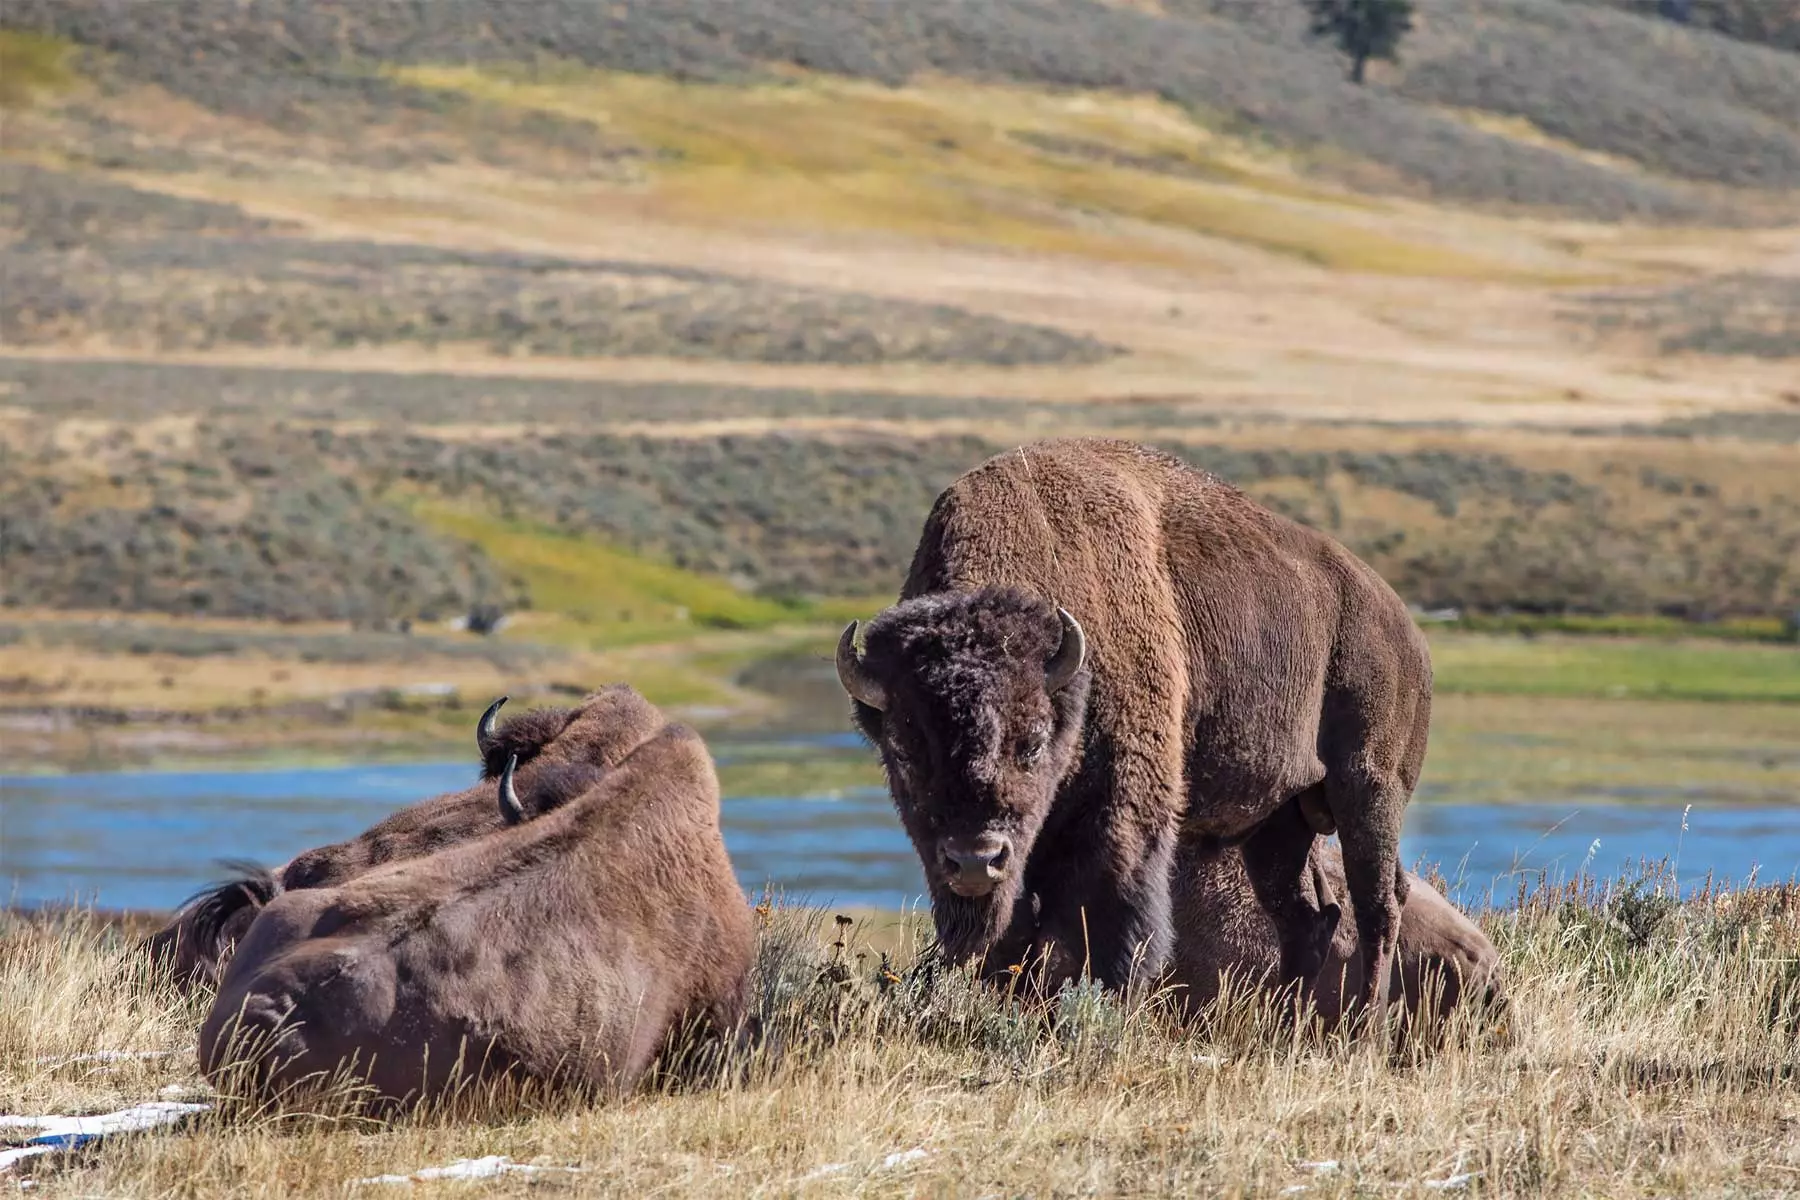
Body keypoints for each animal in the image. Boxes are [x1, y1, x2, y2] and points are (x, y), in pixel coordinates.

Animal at [831, 433, 1432, 1014]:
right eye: (904, 751)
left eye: (1033, 743)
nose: (976, 861)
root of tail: (1404, 626)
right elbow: (1018, 934)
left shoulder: (1121, 812)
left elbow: (1108, 922)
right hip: (1279, 821)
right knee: (1305, 916)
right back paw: (1289, 1022)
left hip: (1369, 792)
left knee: (1379, 907)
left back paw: (1363, 1028)